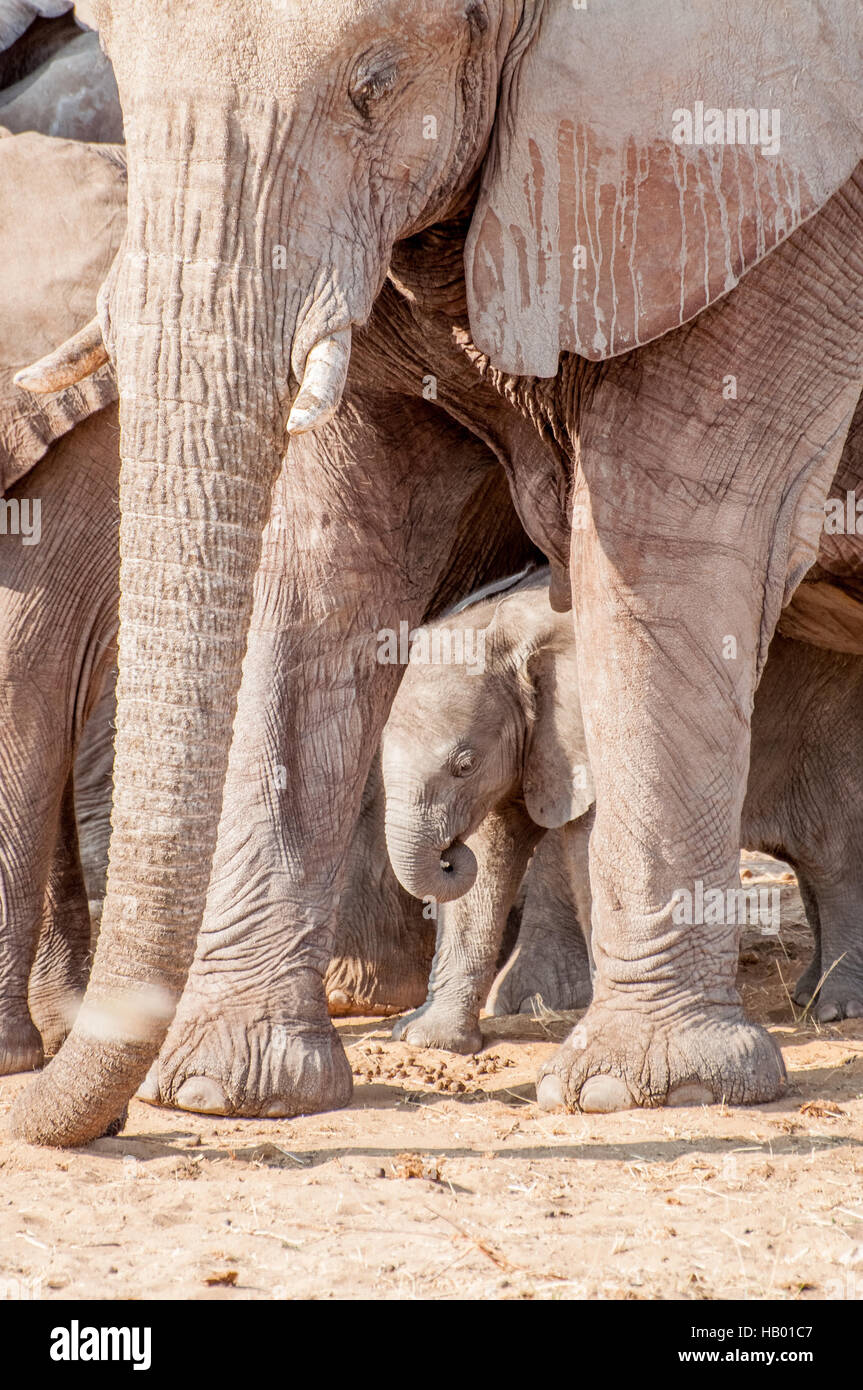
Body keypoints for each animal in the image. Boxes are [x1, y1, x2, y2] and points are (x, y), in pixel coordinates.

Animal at [383, 566, 863, 1053]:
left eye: (465, 764)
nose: (448, 853)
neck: (510, 629)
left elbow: (593, 856)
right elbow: (488, 864)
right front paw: (427, 1040)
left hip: (829, 731)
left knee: (832, 860)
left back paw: (834, 1008)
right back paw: (809, 994)